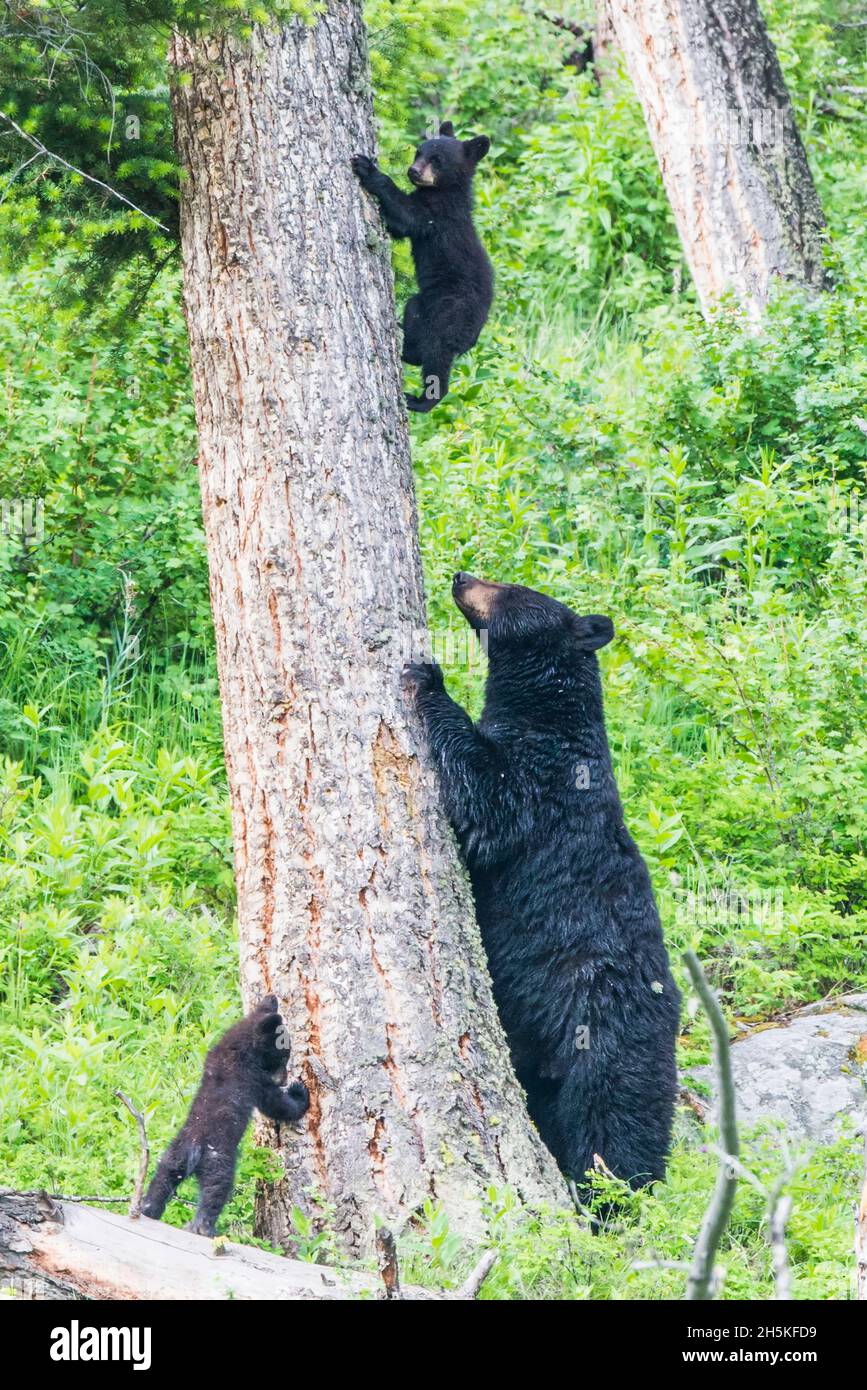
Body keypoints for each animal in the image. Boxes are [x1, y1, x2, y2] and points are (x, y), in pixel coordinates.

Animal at [142, 995, 309, 1237]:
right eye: (283, 1056)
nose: (284, 1080)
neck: (238, 1047)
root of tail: (194, 1150)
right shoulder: (254, 1079)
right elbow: (276, 1104)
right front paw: (300, 1094)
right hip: (218, 1160)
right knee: (216, 1190)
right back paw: (204, 1227)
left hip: (174, 1155)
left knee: (163, 1178)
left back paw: (148, 1209)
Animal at [351, 121, 493, 413]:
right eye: (419, 152)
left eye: (437, 160)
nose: (413, 171)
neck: (444, 192)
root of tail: (475, 333)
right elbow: (397, 227)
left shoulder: (436, 215)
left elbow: (407, 216)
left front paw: (369, 169)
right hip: (426, 306)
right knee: (415, 317)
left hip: (450, 315)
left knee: (437, 358)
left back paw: (420, 400)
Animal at [401, 574, 680, 1201]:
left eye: (509, 587)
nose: (460, 576)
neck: (549, 715)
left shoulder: (543, 784)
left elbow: (488, 798)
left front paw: (428, 678)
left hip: (604, 1041)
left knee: (612, 1131)